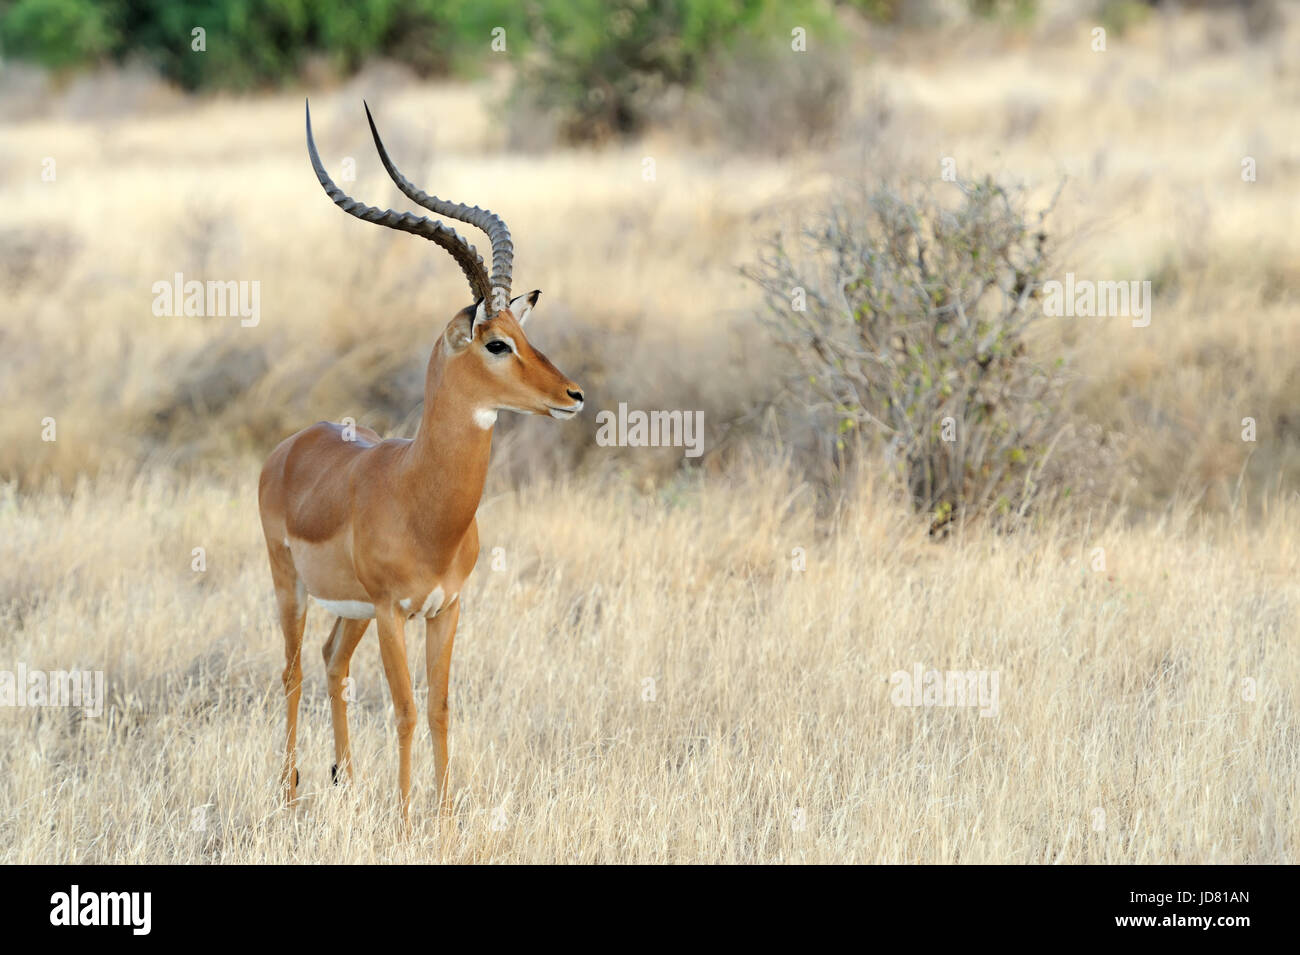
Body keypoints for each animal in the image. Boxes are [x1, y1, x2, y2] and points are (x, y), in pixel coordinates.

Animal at [258, 101, 584, 824]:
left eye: (523, 334)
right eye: (496, 344)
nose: (573, 395)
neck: (422, 500)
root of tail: (290, 446)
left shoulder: (445, 609)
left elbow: (438, 710)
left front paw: (442, 817)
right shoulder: (392, 611)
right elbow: (406, 711)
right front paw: (409, 823)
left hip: (350, 611)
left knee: (331, 661)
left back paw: (345, 781)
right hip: (293, 587)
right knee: (293, 670)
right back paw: (290, 793)